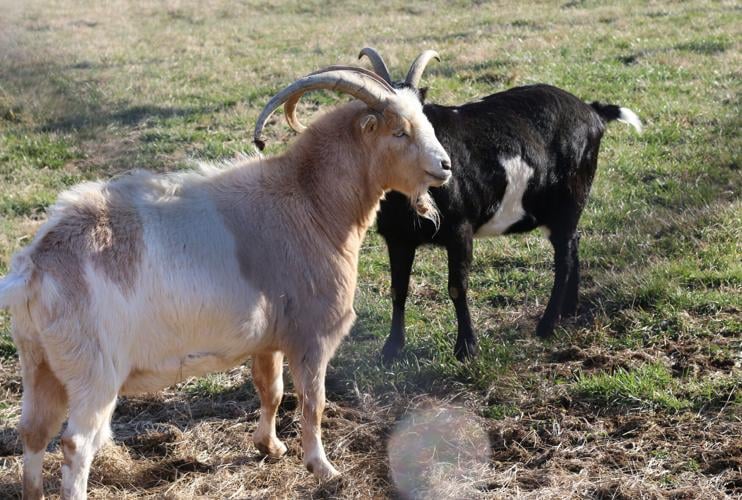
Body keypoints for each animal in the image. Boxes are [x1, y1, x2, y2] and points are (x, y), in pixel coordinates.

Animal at [0, 66, 451, 499]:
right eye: (399, 131)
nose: (445, 166)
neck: (309, 202)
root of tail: (36, 265)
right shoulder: (312, 335)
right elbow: (313, 402)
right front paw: (322, 468)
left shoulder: (268, 340)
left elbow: (271, 390)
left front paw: (270, 447)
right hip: (93, 374)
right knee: (75, 444)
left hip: (39, 362)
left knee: (34, 432)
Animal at [343, 48, 642, 362]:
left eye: (423, 116)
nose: (442, 165)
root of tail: (592, 112)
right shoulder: (397, 237)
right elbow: (398, 289)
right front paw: (391, 349)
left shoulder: (460, 231)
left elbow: (457, 288)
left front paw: (466, 349)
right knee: (574, 242)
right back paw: (569, 310)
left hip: (570, 198)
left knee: (563, 256)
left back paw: (547, 325)